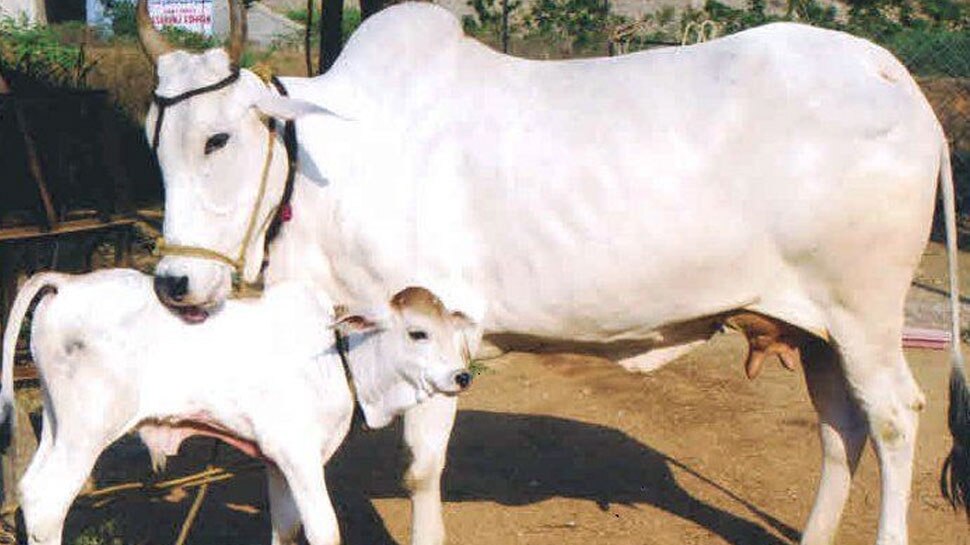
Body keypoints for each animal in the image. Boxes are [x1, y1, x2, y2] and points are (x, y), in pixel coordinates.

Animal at [0, 269, 473, 545]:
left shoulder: (276, 462)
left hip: (58, 425)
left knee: (29, 489)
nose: (462, 377)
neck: (339, 355)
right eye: (417, 333)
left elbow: (286, 527)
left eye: (453, 331)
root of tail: (68, 282)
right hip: (87, 431)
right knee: (47, 503)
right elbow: (324, 529)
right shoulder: (298, 455)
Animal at [135, 1, 970, 543]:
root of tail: (891, 74)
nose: (174, 283)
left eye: (217, 138)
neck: (327, 166)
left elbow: (421, 471)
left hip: (865, 314)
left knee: (894, 419)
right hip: (817, 328)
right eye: (154, 138)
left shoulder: (432, 328)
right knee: (841, 432)